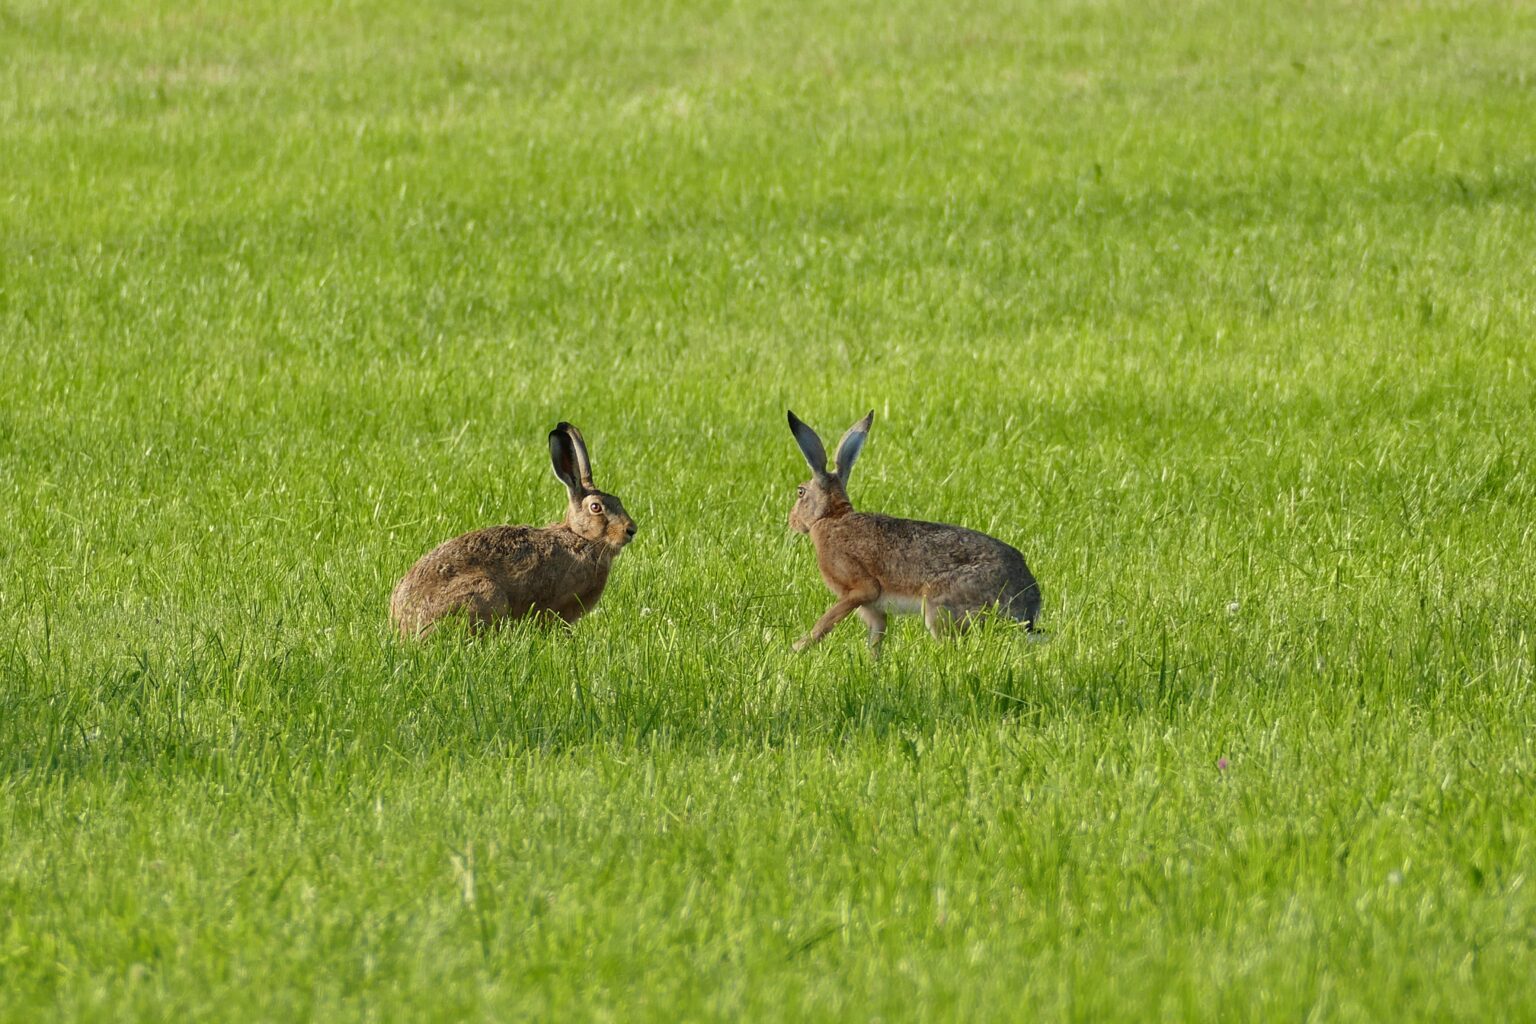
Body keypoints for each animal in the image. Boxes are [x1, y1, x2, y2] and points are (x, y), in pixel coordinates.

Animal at [389, 422, 636, 637]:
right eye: (596, 507)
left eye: (618, 501)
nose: (631, 529)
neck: (580, 537)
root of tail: (402, 625)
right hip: (485, 593)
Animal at [786, 410, 1040, 657]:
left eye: (800, 492)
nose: (791, 521)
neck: (830, 518)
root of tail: (1029, 602)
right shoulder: (873, 609)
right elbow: (876, 637)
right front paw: (873, 664)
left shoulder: (860, 588)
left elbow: (826, 622)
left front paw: (796, 649)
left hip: (938, 607)